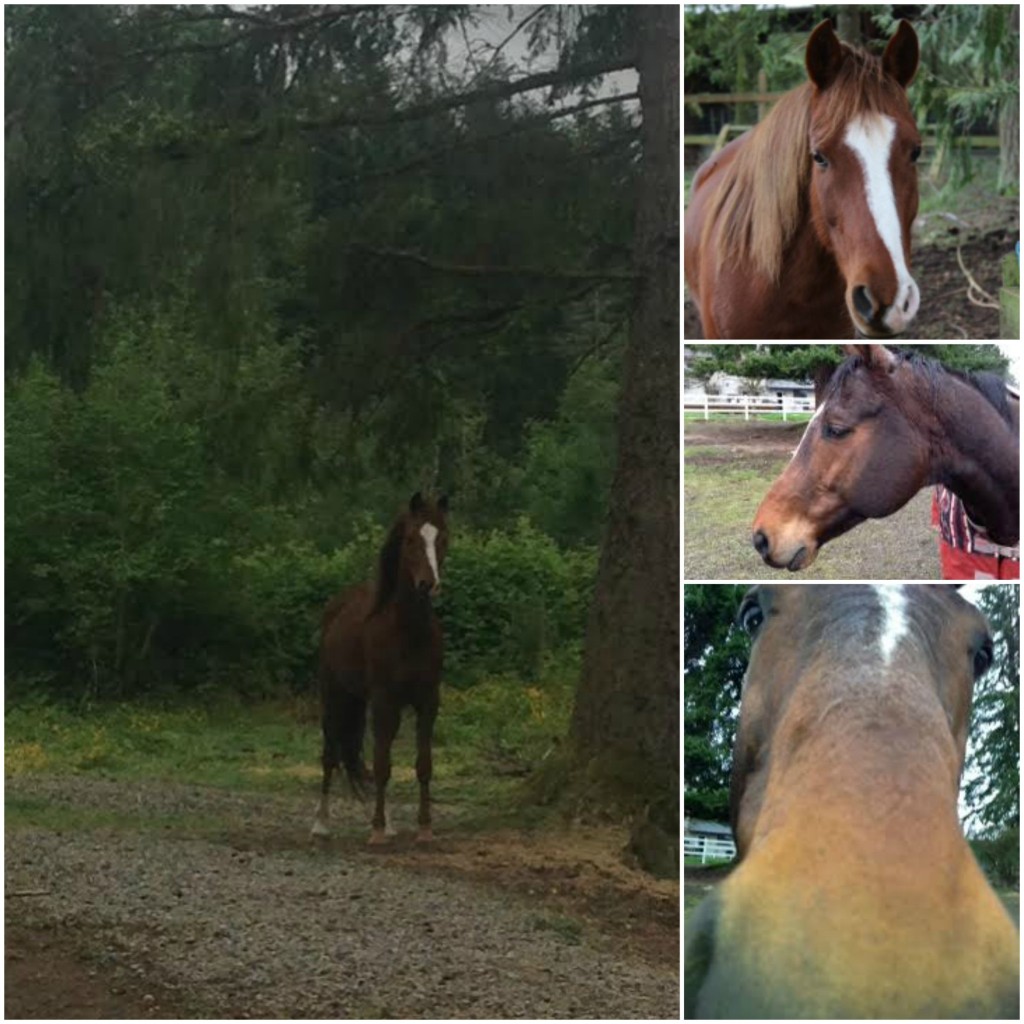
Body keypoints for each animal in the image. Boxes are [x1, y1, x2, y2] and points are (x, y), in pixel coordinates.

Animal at [311, 492, 449, 845]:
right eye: (411, 539)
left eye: (443, 538)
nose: (428, 584)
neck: (407, 631)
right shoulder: (384, 700)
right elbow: (383, 763)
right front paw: (375, 831)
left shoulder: (428, 701)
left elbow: (423, 764)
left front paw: (424, 828)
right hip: (334, 695)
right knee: (330, 753)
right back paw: (321, 823)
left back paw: (388, 822)